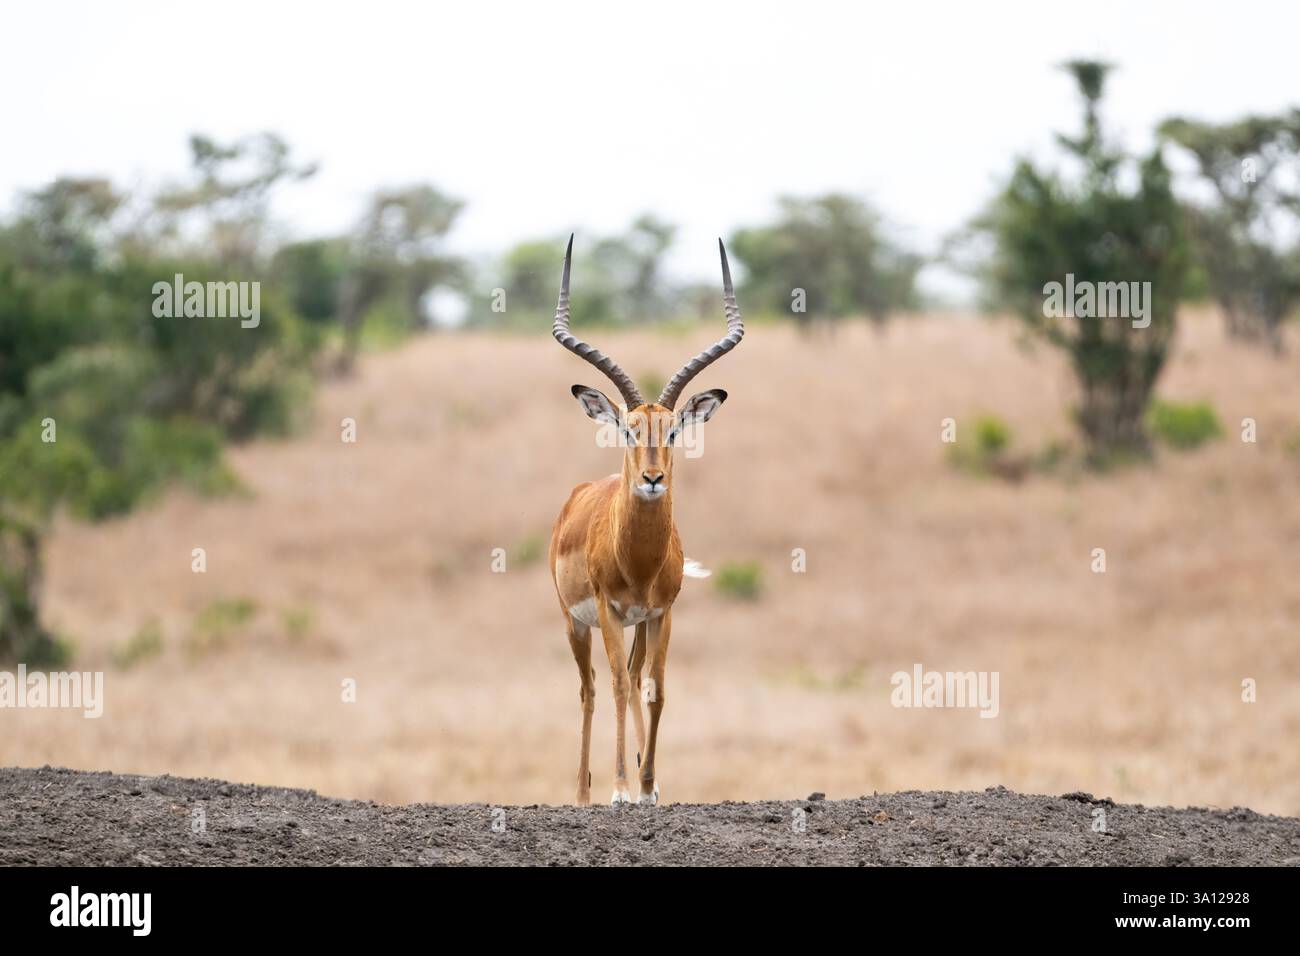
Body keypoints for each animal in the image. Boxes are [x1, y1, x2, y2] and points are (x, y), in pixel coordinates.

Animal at [548, 235, 744, 806]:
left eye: (673, 430)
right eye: (630, 430)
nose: (653, 478)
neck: (636, 561)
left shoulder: (662, 612)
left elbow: (656, 688)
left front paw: (650, 788)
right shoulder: (610, 612)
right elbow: (614, 685)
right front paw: (618, 788)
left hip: (636, 625)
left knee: (634, 681)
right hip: (575, 622)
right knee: (592, 687)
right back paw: (585, 794)